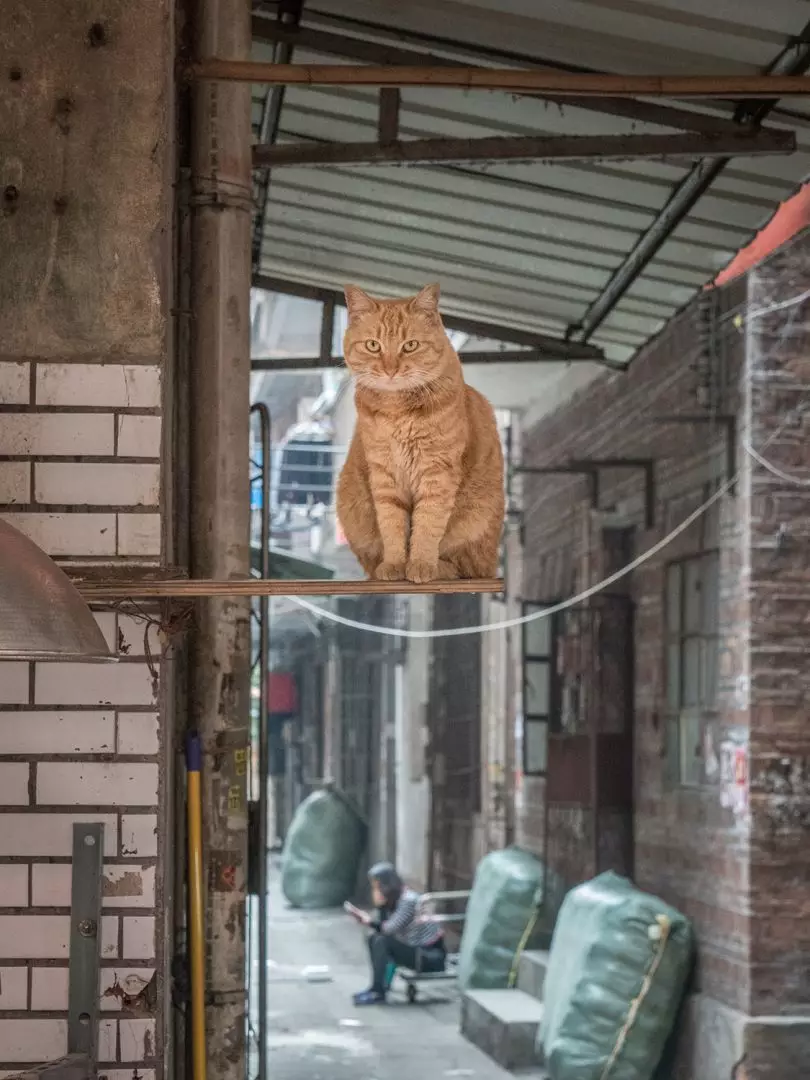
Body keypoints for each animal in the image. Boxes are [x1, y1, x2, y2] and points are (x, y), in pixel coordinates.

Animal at [334, 280, 501, 583]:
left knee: (465, 567)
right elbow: (392, 524)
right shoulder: (384, 474)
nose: (390, 369)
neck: (397, 413)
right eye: (373, 346)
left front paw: (421, 564)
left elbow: (427, 524)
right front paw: (395, 564)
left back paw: (442, 568)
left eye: (410, 346)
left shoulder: (437, 473)